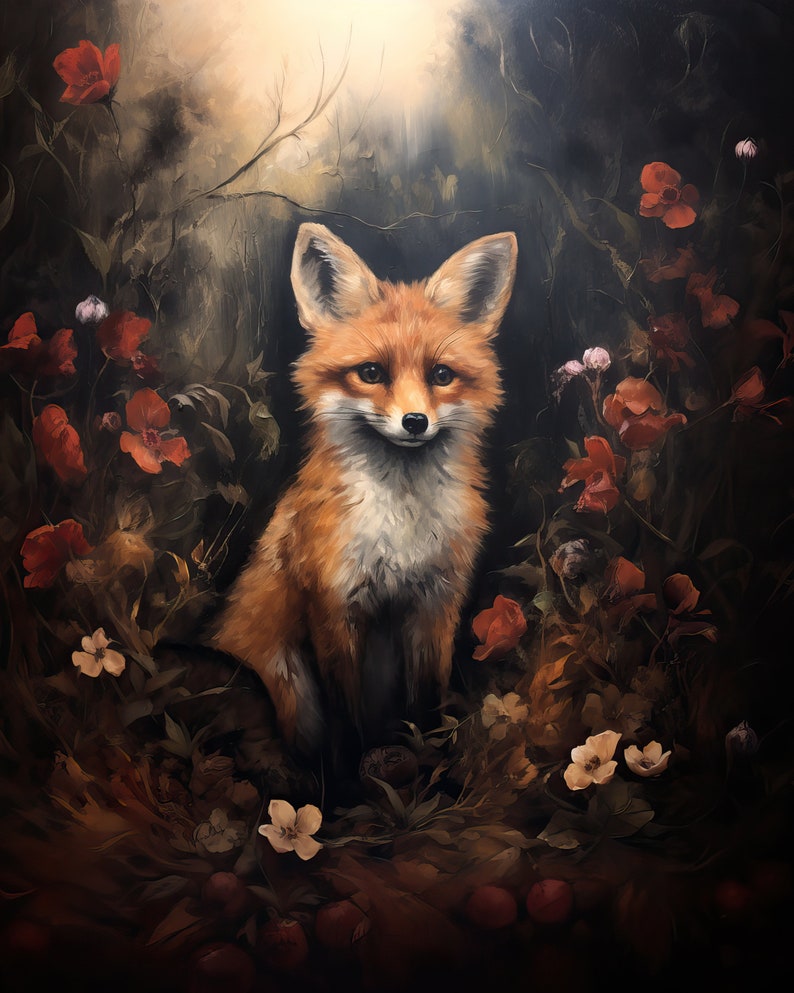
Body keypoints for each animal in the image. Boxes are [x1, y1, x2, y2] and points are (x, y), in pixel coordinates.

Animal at [209, 222, 518, 755]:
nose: (415, 422)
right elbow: (345, 722)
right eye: (371, 373)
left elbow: (428, 704)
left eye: (441, 375)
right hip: (284, 679)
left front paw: (433, 766)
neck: (401, 524)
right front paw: (353, 772)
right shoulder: (333, 607)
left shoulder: (436, 604)